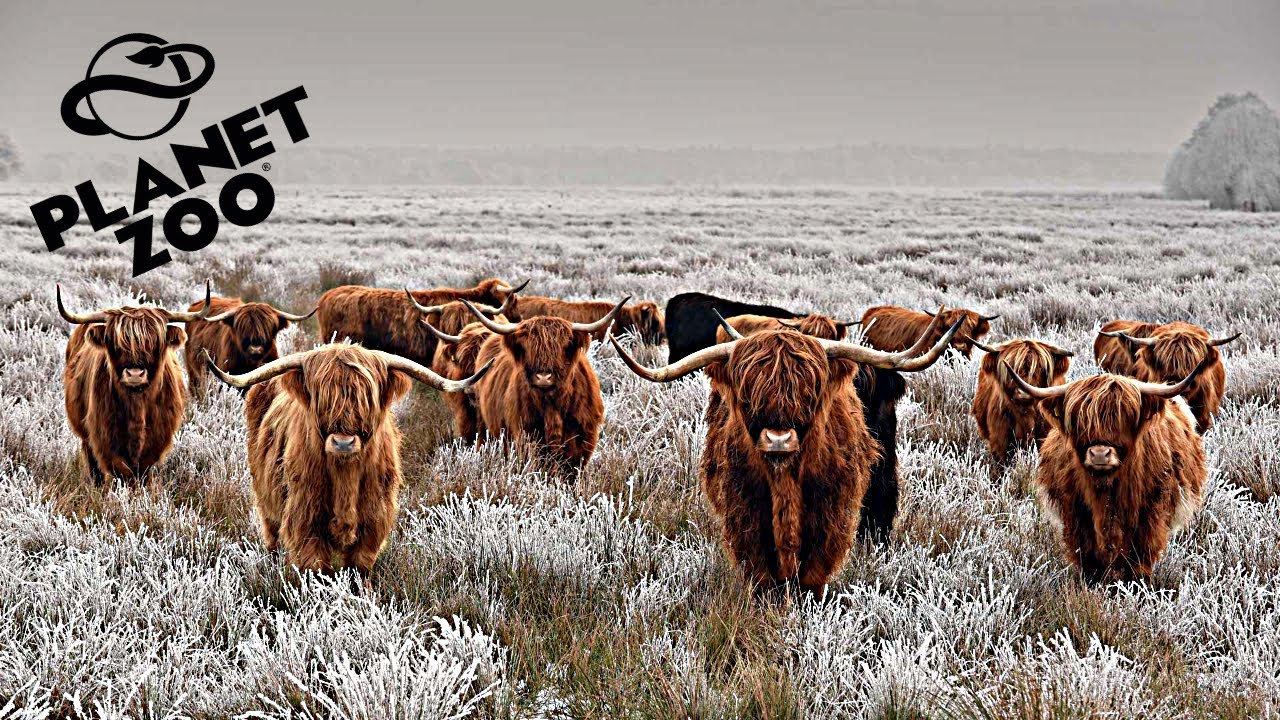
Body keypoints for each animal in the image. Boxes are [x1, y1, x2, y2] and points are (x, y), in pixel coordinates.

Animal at [59, 282, 212, 484]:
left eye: (155, 343)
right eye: (116, 344)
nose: (135, 374)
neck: (137, 404)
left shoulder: (157, 439)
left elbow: (142, 470)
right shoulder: (104, 436)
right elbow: (123, 472)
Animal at [204, 343, 490, 576]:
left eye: (366, 398)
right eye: (322, 398)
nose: (343, 442)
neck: (345, 477)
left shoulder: (374, 520)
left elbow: (359, 568)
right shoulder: (305, 519)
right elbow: (317, 568)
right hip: (267, 502)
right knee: (272, 536)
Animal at [461, 297, 626, 472]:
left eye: (562, 347)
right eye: (527, 348)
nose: (543, 377)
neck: (551, 406)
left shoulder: (581, 441)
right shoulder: (527, 437)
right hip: (484, 424)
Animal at [610, 313, 961, 593]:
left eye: (810, 392)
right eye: (748, 395)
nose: (778, 439)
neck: (785, 481)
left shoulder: (831, 512)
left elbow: (813, 571)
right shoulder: (745, 512)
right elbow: (762, 572)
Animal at [1006, 358, 1210, 583]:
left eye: (1126, 417)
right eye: (1078, 420)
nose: (1099, 454)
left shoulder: (1151, 512)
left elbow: (1140, 556)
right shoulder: (1075, 513)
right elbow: (1088, 555)